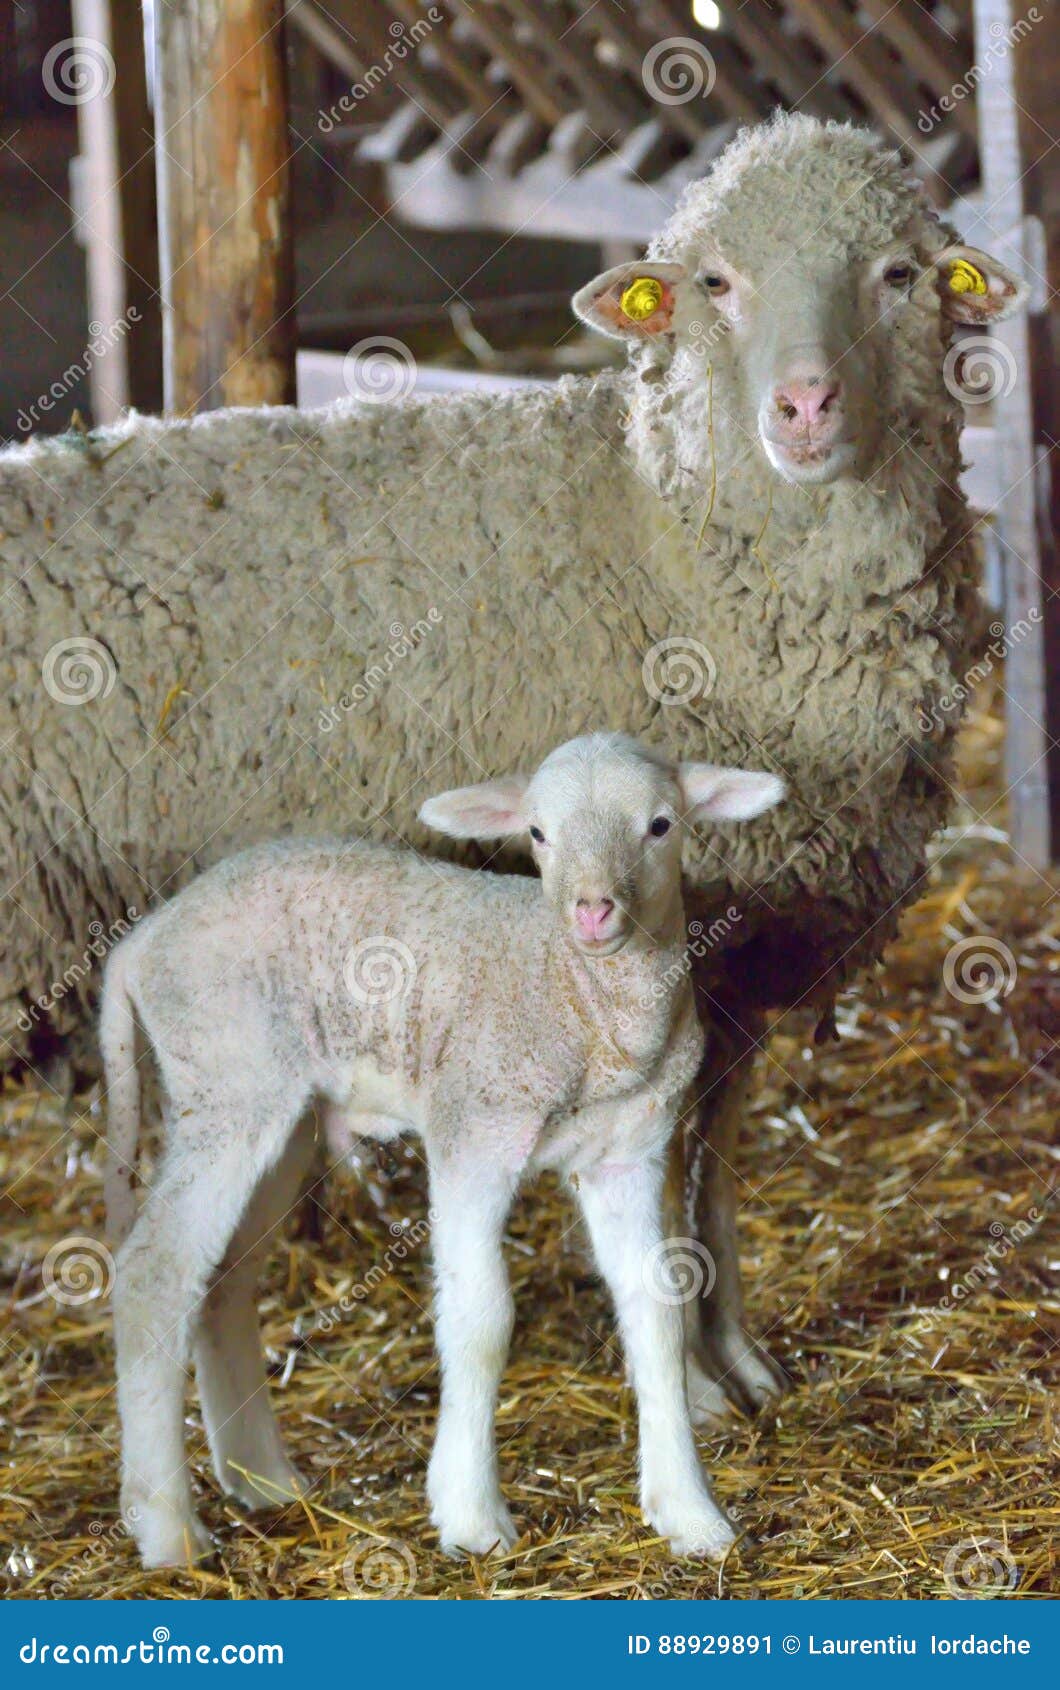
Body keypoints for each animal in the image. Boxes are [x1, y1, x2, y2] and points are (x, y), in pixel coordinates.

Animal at [0, 112, 1028, 1421]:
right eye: (715, 282)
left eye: (897, 275)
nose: (803, 407)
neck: (662, 531)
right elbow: (669, 1165)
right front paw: (694, 1382)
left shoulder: (736, 942)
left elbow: (717, 1155)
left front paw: (737, 1355)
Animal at [101, 732, 784, 1568]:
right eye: (537, 833)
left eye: (660, 825)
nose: (593, 911)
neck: (577, 999)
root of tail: (142, 940)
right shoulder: (473, 1134)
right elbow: (481, 1321)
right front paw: (471, 1516)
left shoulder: (627, 1152)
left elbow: (656, 1309)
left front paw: (690, 1513)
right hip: (228, 1083)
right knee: (154, 1275)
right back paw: (168, 1529)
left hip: (283, 1116)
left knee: (222, 1282)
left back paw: (263, 1481)